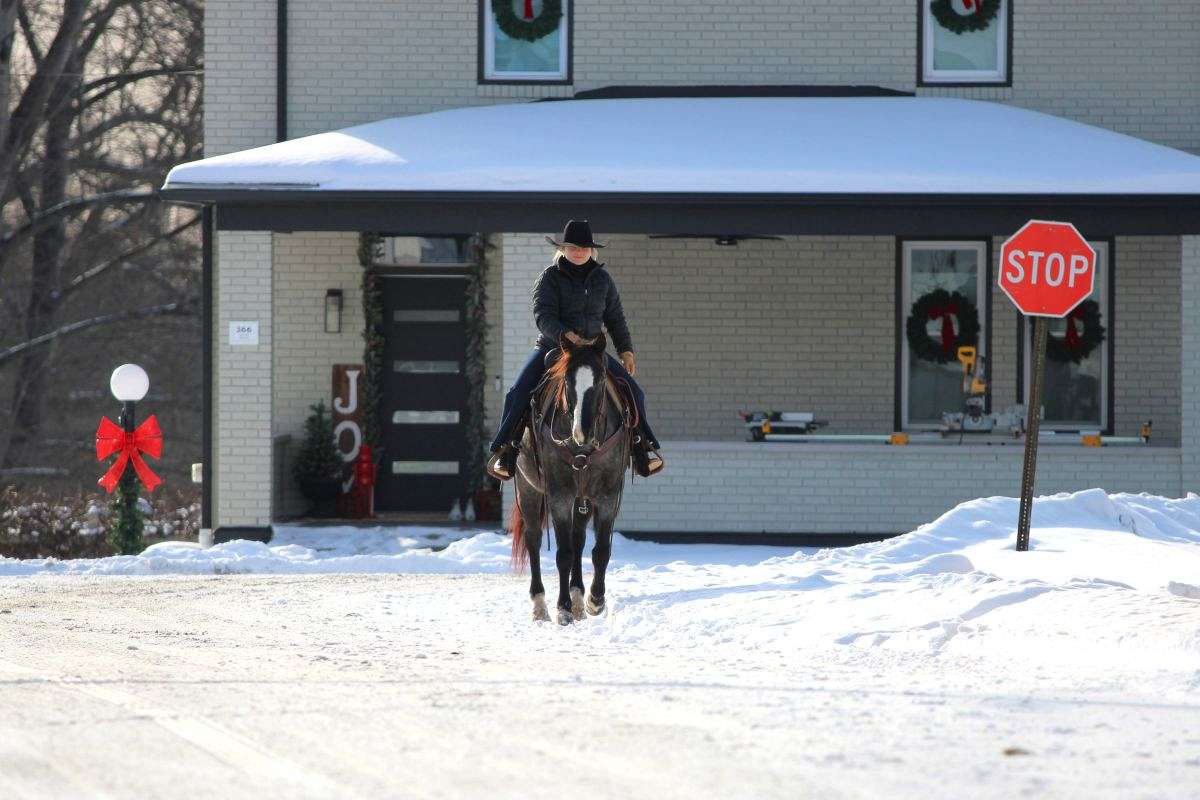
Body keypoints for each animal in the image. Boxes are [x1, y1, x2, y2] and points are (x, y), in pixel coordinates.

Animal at [507, 332, 637, 625]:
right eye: (567, 380)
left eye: (600, 379)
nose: (582, 432)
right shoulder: (560, 496)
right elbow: (563, 553)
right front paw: (563, 608)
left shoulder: (608, 495)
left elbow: (600, 550)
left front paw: (595, 601)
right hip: (528, 489)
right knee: (534, 540)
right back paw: (540, 606)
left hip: (582, 499)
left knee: (578, 539)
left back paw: (579, 600)